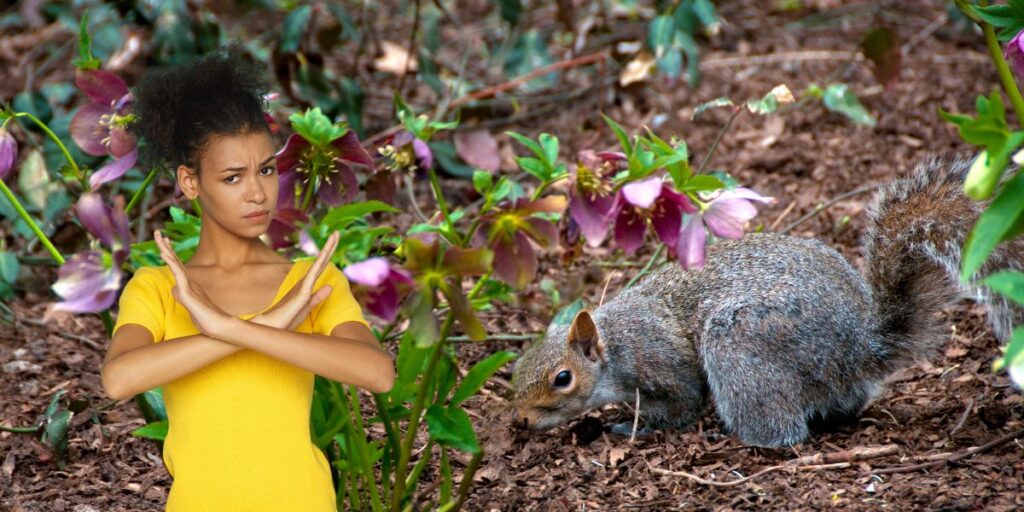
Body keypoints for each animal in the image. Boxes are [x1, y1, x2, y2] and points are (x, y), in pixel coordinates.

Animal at [510, 156, 1024, 447]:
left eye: (562, 378)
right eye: (515, 370)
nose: (520, 421)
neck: (614, 342)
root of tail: (858, 347)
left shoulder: (660, 360)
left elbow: (680, 404)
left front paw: (630, 428)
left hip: (740, 343)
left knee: (782, 432)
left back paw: (741, 437)